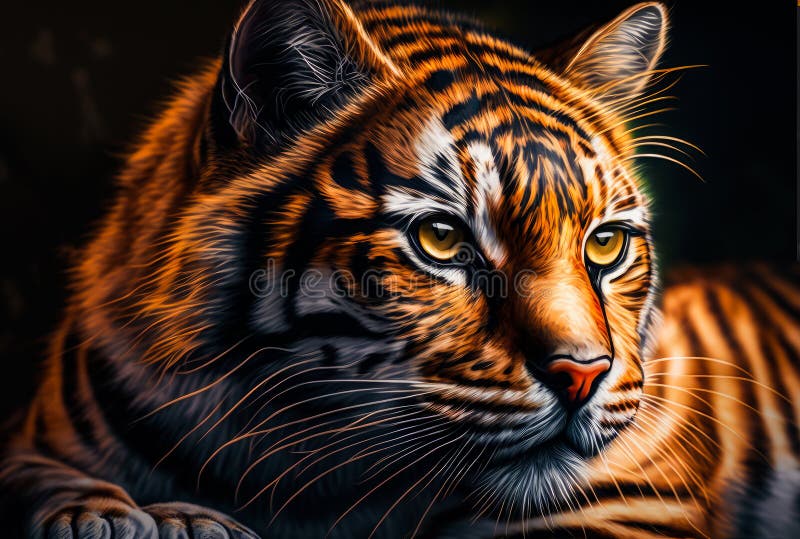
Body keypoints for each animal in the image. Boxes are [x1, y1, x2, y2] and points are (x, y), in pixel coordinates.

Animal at [0, 0, 797, 538]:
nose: (582, 374)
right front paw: (141, 517)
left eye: (604, 245)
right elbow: (51, 483)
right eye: (442, 239)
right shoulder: (37, 443)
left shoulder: (632, 497)